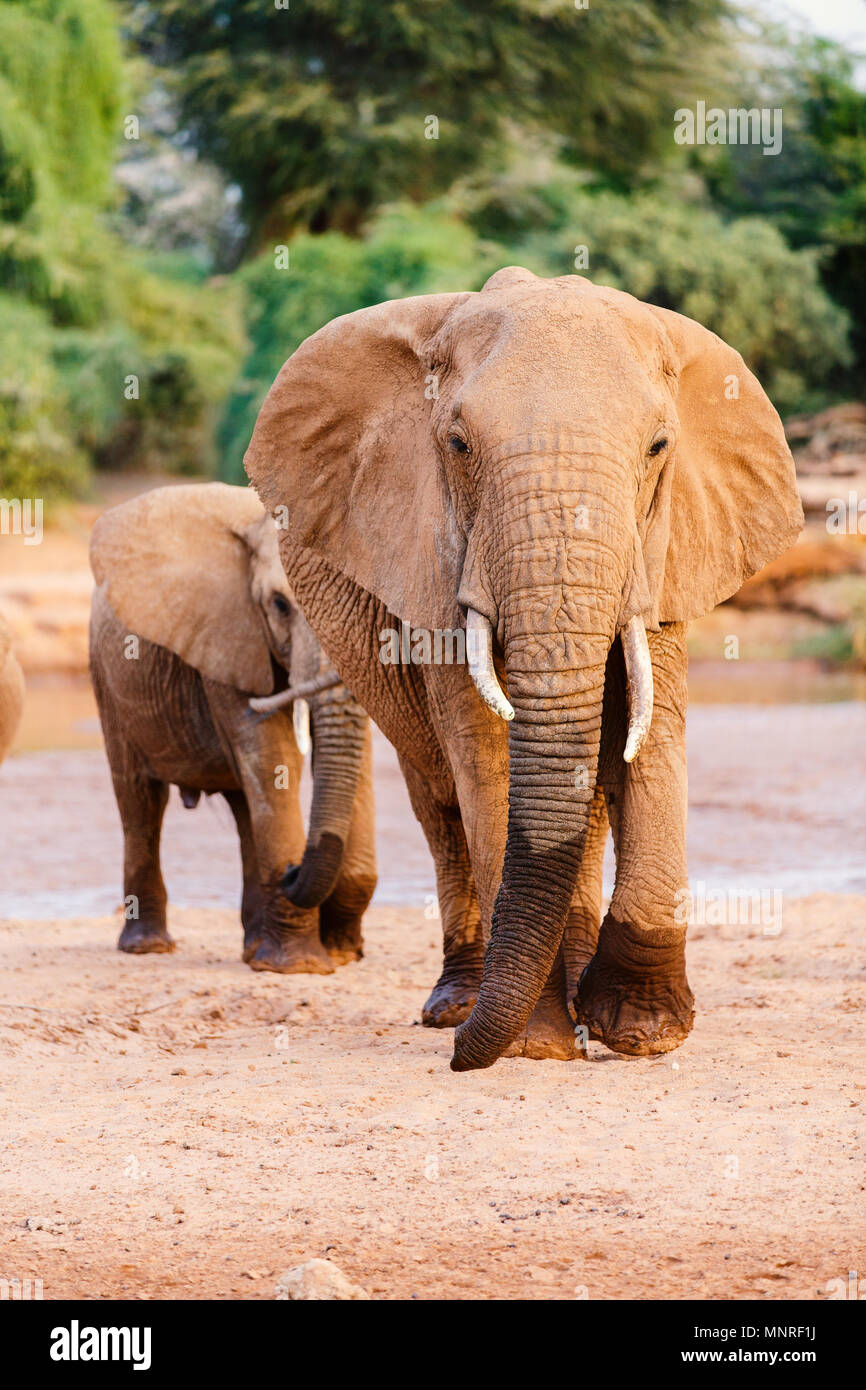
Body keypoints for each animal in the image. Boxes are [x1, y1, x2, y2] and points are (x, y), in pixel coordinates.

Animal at [89, 481, 377, 972]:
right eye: (279, 605)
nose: (292, 872)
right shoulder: (228, 637)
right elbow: (271, 753)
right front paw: (300, 967)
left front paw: (338, 953)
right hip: (107, 680)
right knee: (140, 799)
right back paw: (148, 947)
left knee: (246, 808)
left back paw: (253, 948)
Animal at [243, 267, 802, 1070]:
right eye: (457, 445)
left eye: (659, 446)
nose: (457, 1058)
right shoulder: (433, 568)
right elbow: (486, 756)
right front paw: (537, 1045)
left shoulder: (667, 550)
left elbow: (653, 731)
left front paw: (639, 1031)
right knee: (440, 800)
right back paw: (462, 1006)